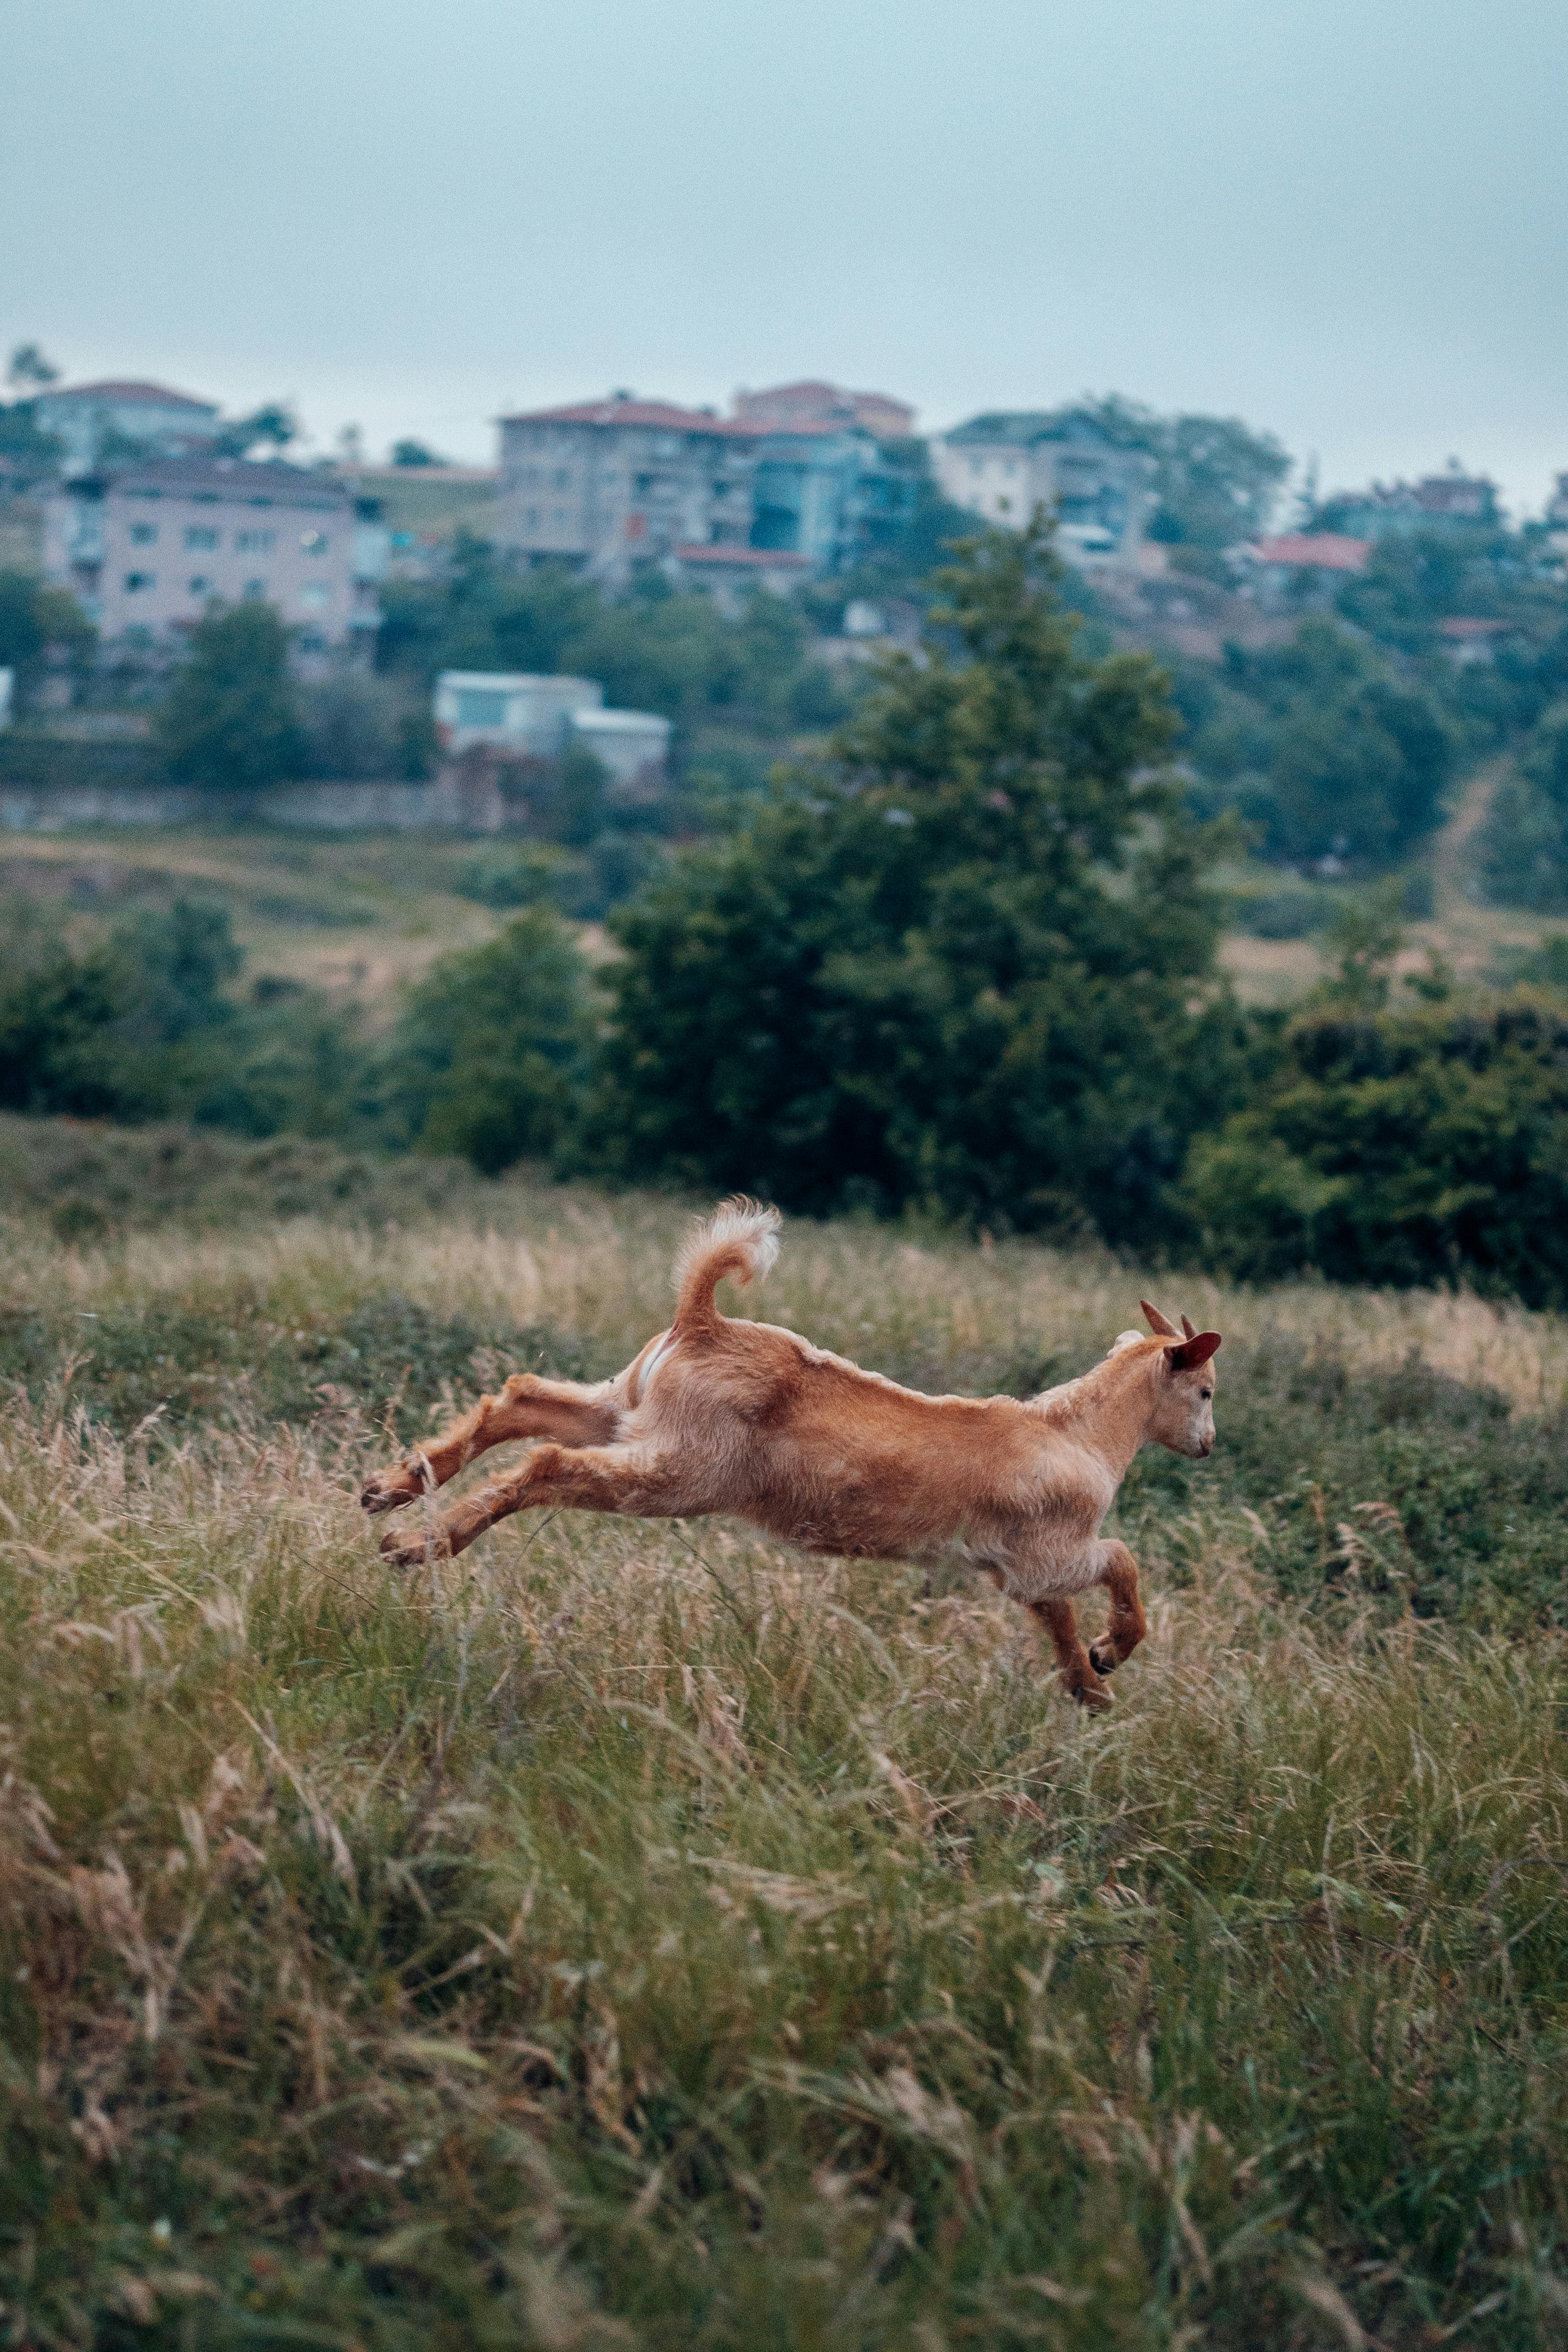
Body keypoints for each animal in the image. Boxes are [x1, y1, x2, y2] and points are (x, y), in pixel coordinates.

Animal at [360, 1200, 1221, 1706]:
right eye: (1208, 1389)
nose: (1210, 1446)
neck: (1078, 1433)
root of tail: (702, 1317)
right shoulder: (1051, 1550)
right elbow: (1122, 1562)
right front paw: (1115, 1650)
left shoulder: (1022, 1575)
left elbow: (1059, 1624)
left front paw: (1090, 1683)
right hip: (680, 1471)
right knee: (548, 1465)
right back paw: (419, 1544)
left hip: (626, 1412)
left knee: (518, 1399)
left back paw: (392, 1490)